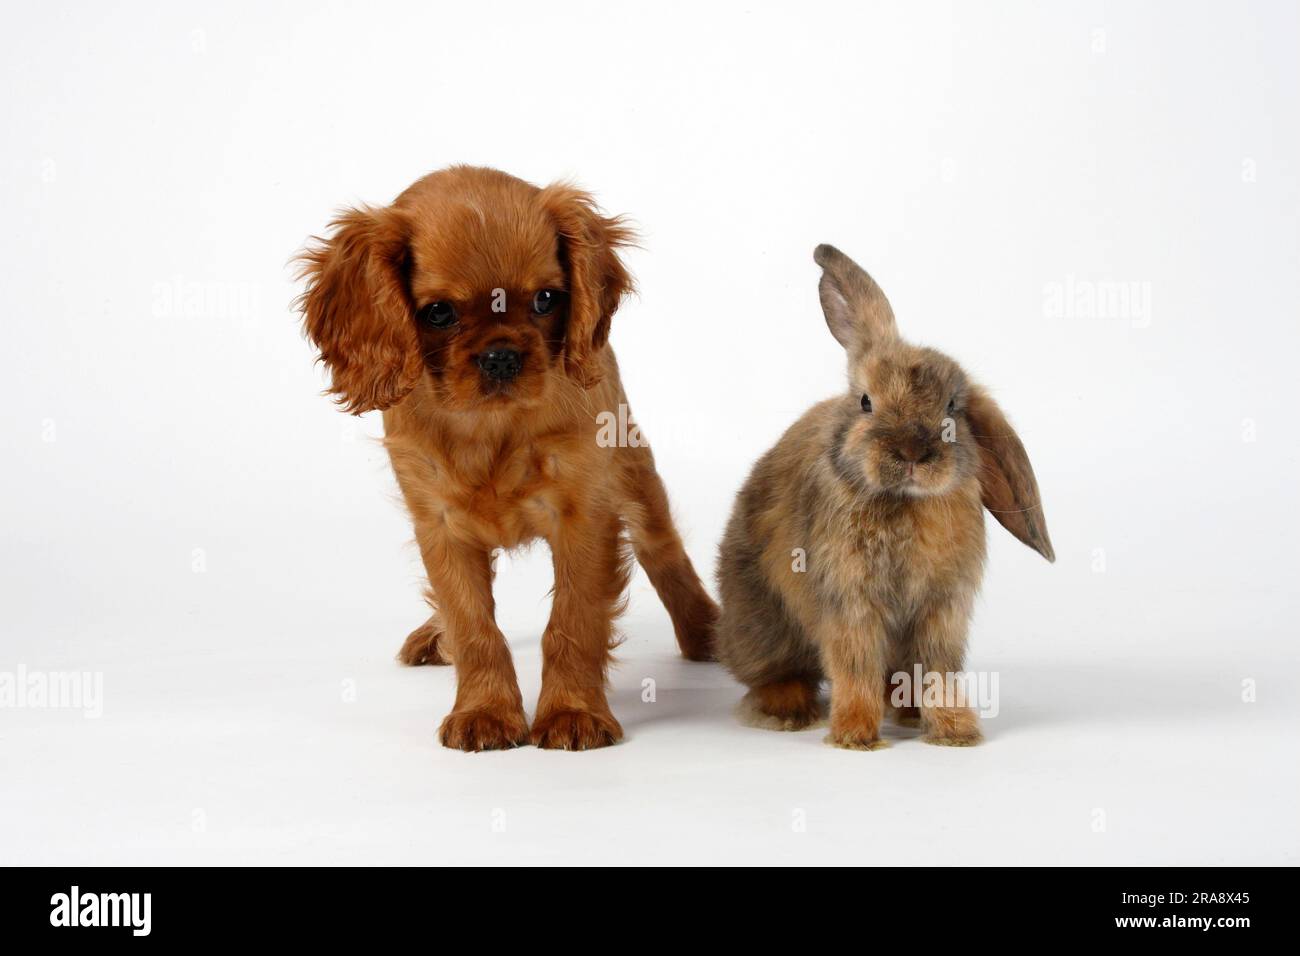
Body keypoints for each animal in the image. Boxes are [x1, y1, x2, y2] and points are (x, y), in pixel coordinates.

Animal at [715, 244, 1054, 749]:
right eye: (866, 402)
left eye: (952, 407)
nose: (912, 452)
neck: (905, 500)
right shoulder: (850, 602)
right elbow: (854, 667)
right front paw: (855, 736)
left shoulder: (942, 611)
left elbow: (938, 671)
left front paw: (956, 732)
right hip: (761, 624)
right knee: (775, 671)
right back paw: (787, 710)